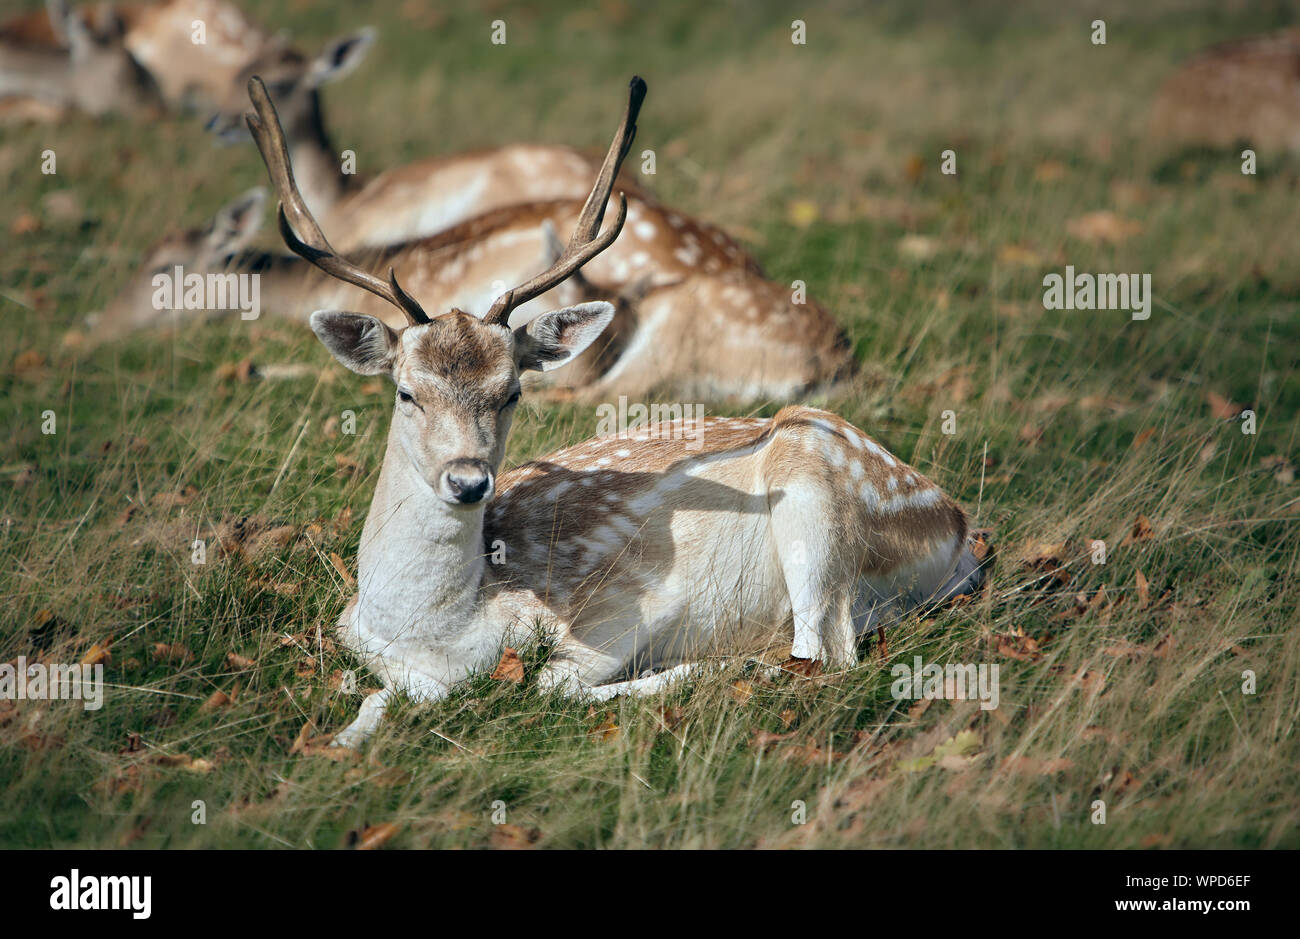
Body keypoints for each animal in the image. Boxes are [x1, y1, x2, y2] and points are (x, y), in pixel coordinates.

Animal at [244, 75, 986, 749]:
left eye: (512, 390)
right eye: (406, 391)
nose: (468, 481)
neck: (433, 635)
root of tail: (962, 531)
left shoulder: (620, 603)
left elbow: (552, 684)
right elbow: (369, 697)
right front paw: (340, 740)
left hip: (821, 497)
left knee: (826, 655)